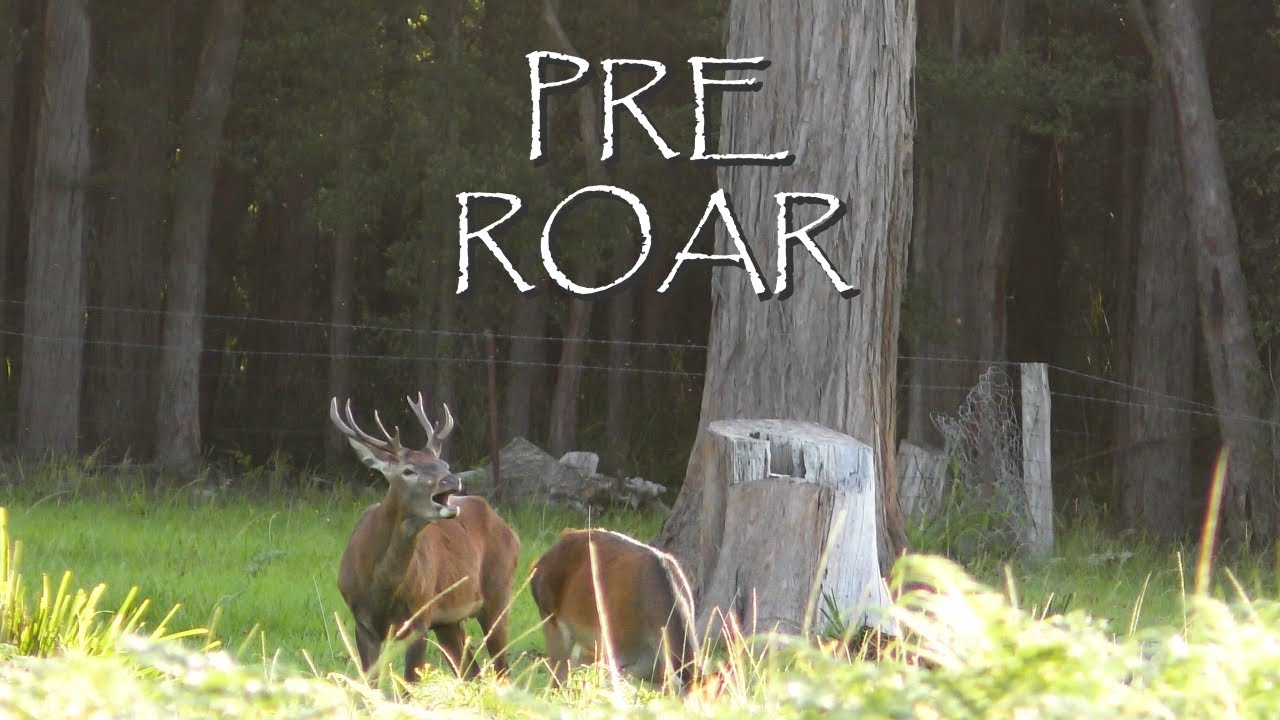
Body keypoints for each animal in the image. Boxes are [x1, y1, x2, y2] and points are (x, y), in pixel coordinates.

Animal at [331, 393, 519, 682]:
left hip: (498, 594)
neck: (380, 585)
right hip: (448, 622)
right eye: (408, 470)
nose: (451, 480)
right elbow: (370, 684)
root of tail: (508, 529)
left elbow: (410, 683)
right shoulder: (362, 622)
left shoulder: (419, 617)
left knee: (502, 670)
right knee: (472, 671)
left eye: (443, 464)